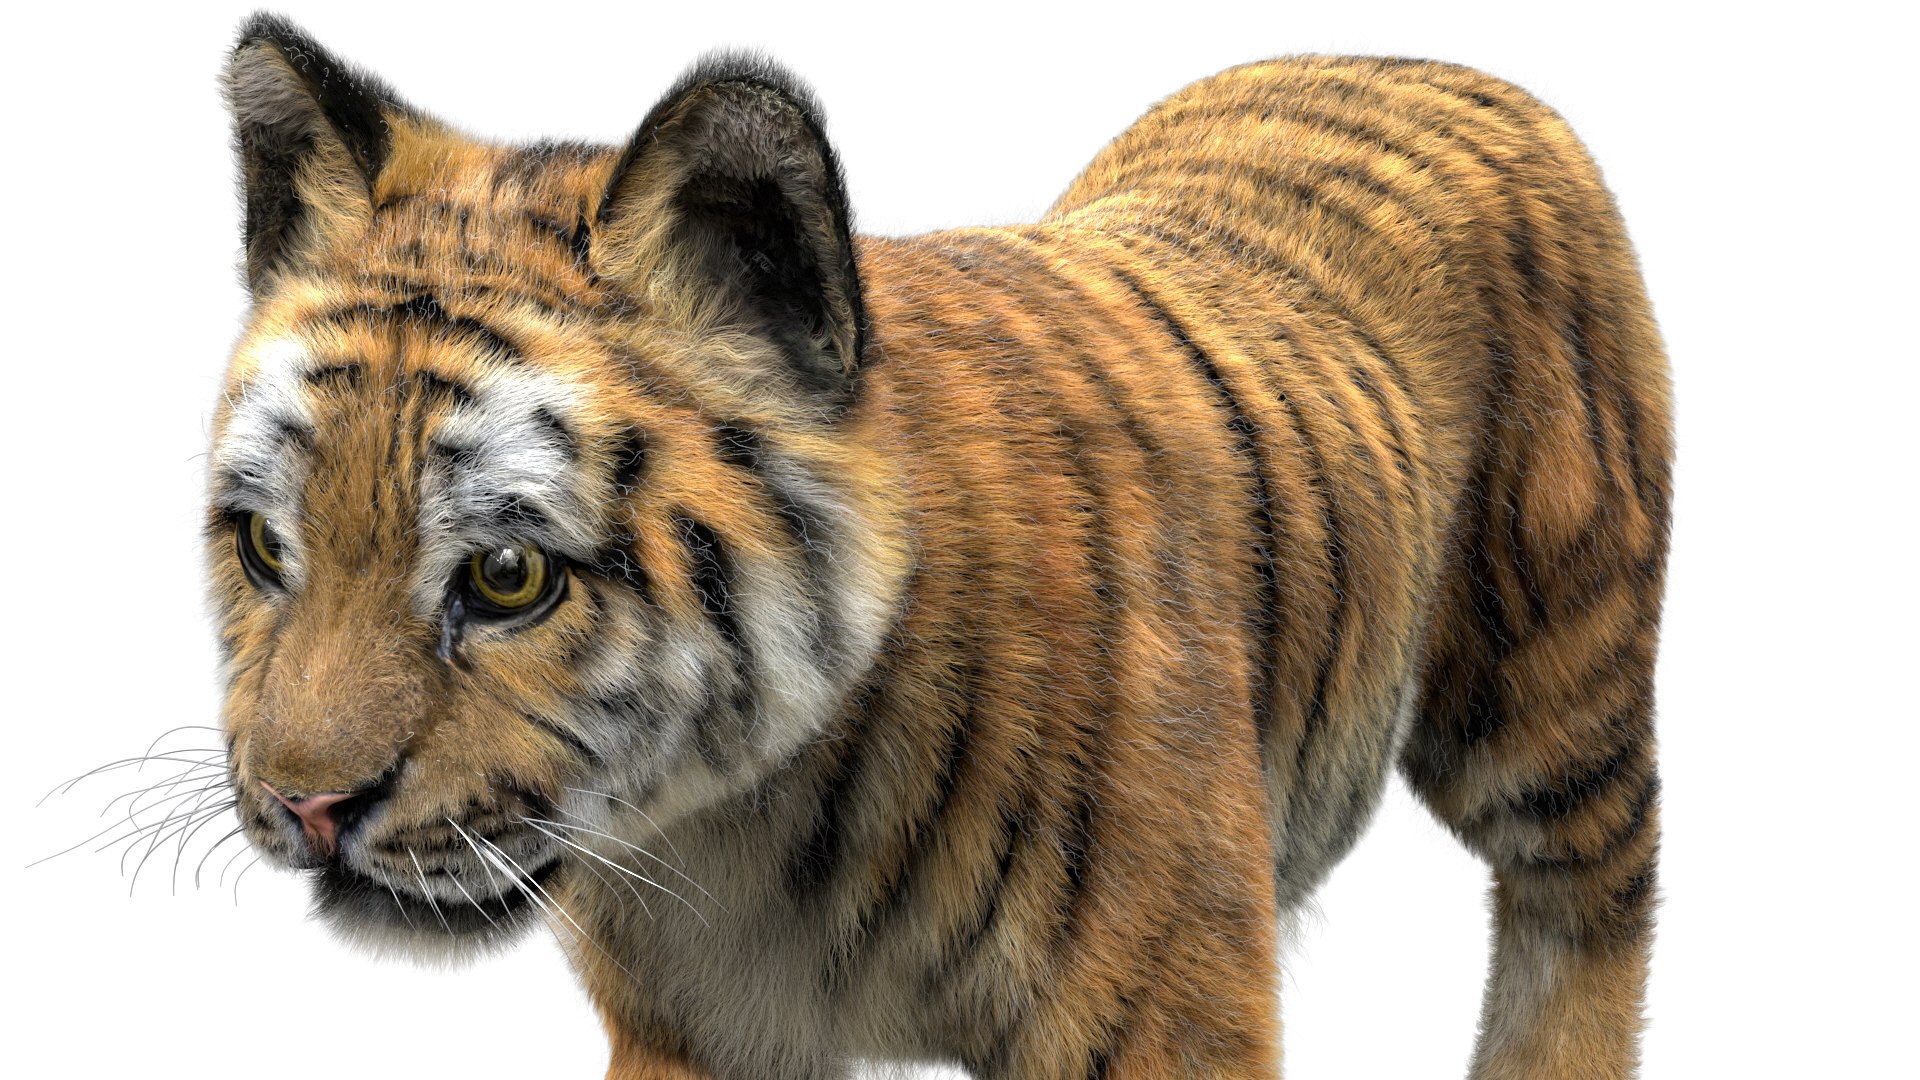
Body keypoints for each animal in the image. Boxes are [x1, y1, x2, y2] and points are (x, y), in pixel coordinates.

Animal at [208, 12, 1672, 1080]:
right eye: (267, 547)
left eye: (509, 577)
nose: (307, 808)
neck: (738, 825)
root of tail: (1415, 57)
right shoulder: (688, 1035)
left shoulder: (1165, 1017)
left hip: (1553, 679)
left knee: (1596, 884)